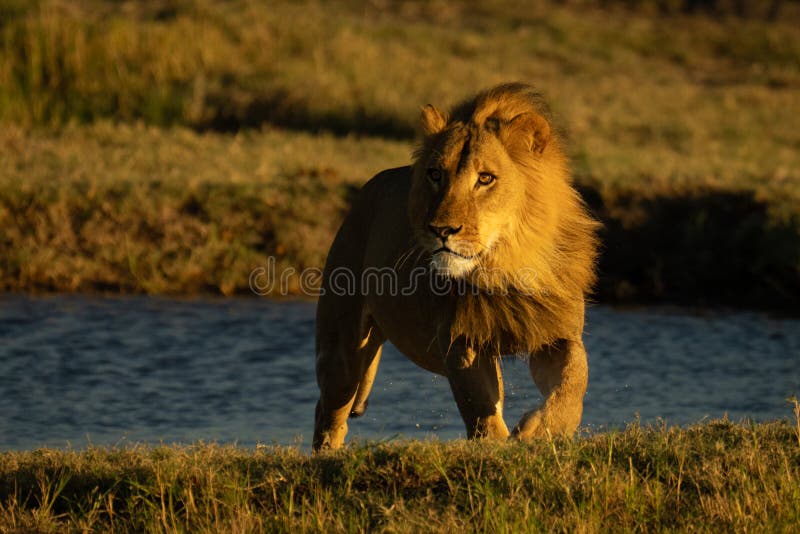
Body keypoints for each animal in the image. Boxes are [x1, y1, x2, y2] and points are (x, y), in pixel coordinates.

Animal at [313, 83, 600, 450]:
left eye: (486, 178)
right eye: (435, 175)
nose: (441, 230)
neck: (503, 268)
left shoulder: (554, 330)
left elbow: (574, 381)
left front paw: (541, 431)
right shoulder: (459, 339)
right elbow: (478, 405)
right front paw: (497, 444)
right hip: (342, 348)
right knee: (329, 412)